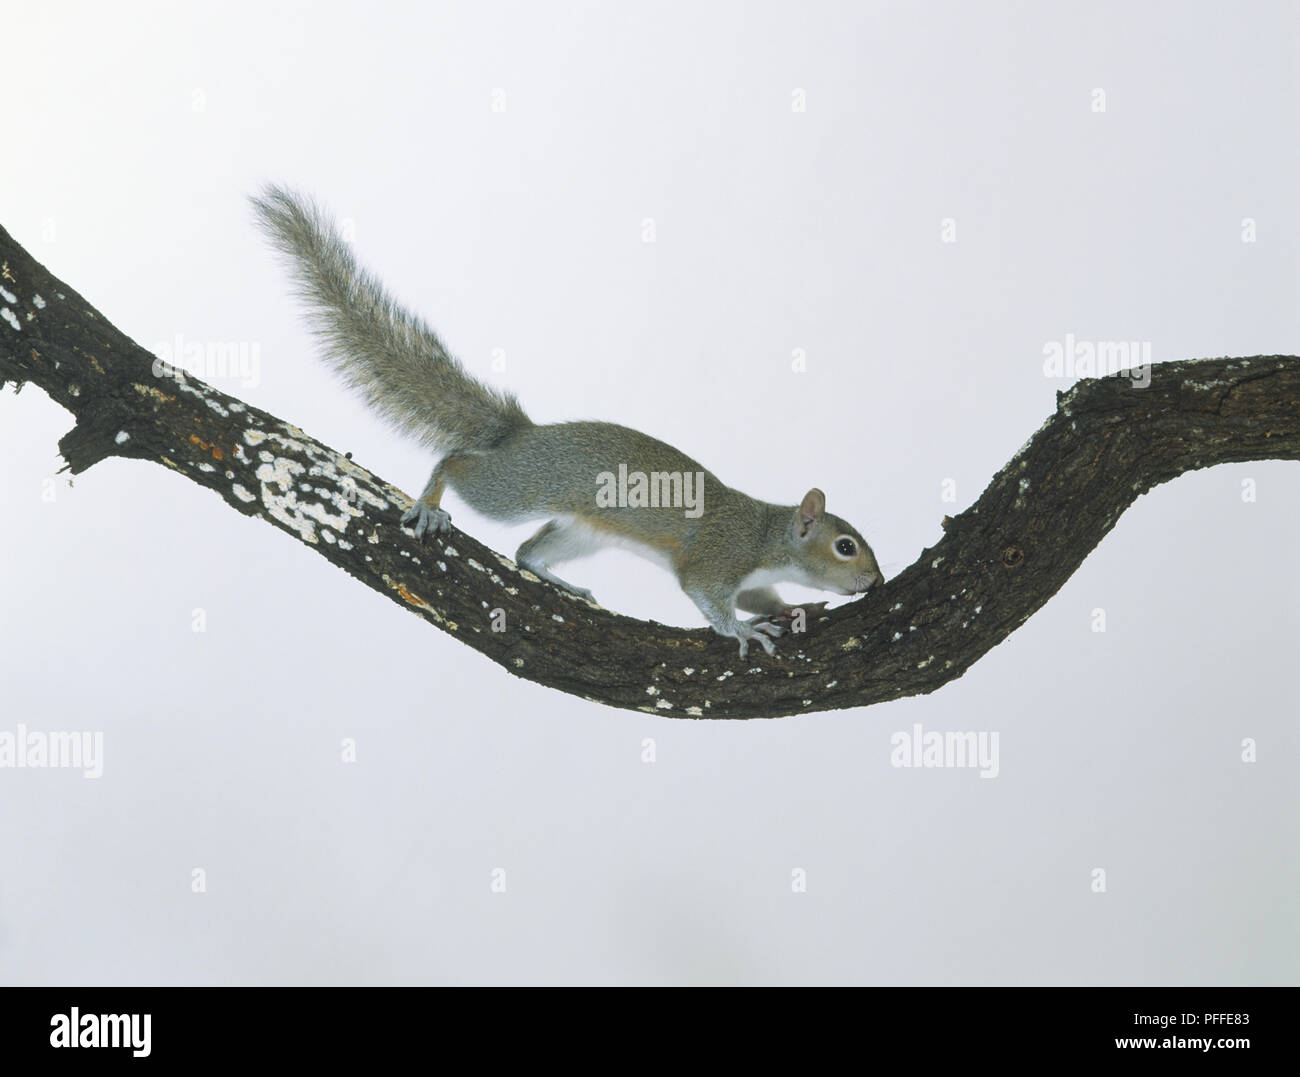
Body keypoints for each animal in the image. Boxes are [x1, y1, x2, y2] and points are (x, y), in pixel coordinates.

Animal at [251, 185, 884, 656]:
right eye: (845, 546)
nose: (875, 582)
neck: (766, 534)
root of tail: (524, 434)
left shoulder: (746, 576)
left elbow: (761, 598)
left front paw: (787, 608)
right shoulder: (717, 559)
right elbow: (708, 598)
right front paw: (746, 632)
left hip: (578, 532)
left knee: (529, 552)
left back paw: (560, 581)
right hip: (516, 488)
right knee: (459, 468)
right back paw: (432, 503)